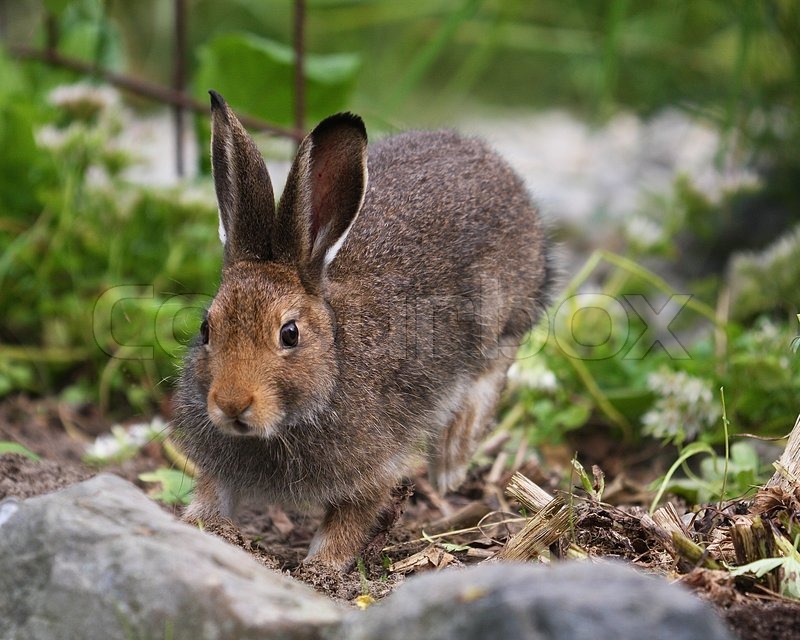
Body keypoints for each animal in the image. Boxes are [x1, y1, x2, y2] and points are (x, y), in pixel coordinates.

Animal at [173, 90, 553, 571]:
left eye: (290, 334)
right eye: (206, 329)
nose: (231, 404)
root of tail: (494, 163)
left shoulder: (375, 469)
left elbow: (349, 523)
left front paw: (321, 570)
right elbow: (211, 498)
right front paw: (193, 527)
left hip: (500, 324)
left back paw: (449, 464)